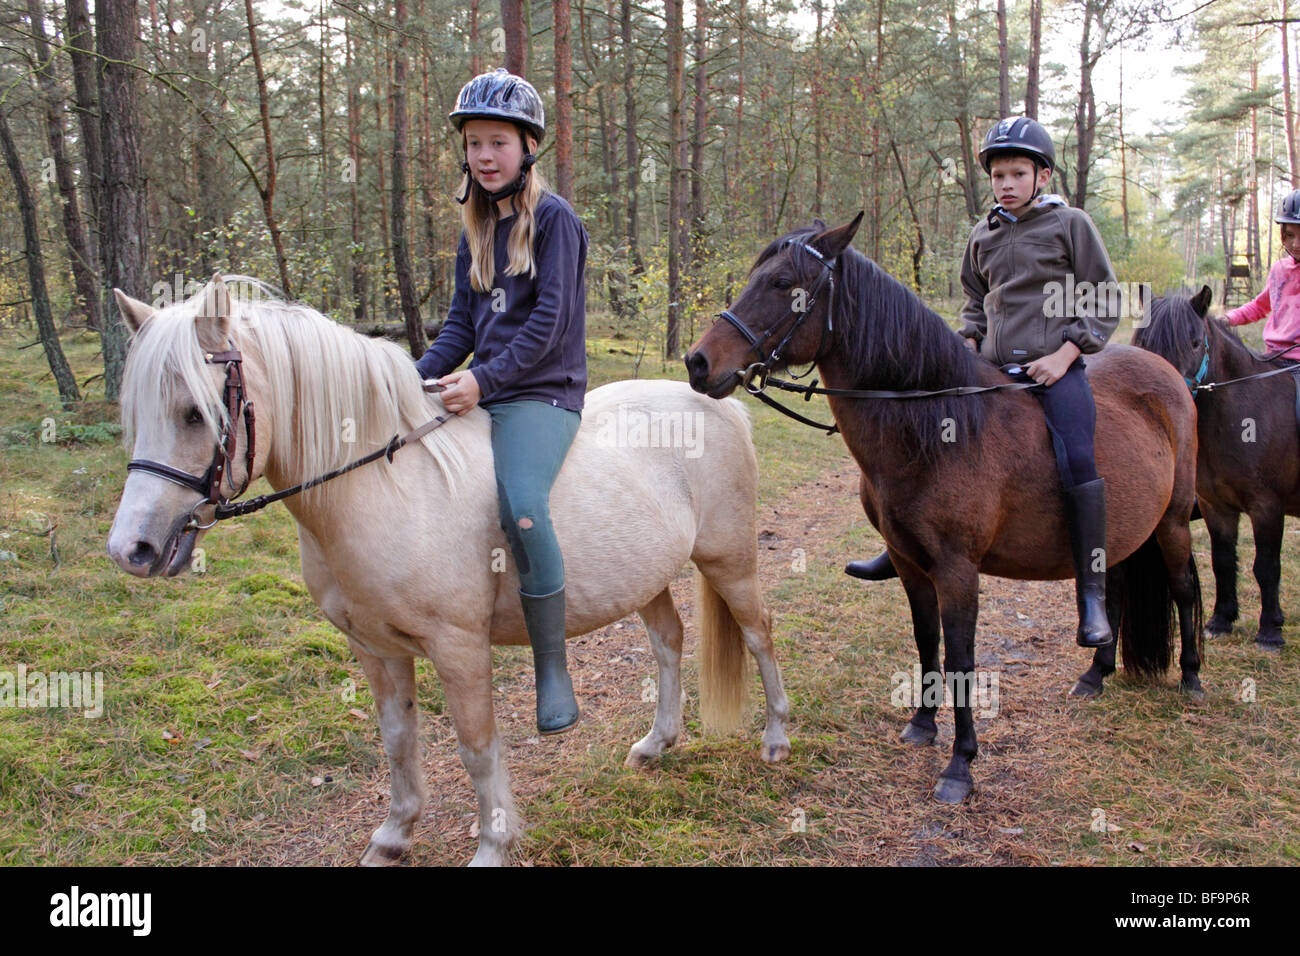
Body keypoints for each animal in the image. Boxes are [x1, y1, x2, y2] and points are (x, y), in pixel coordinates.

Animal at [105, 275, 790, 866]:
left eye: (196, 413)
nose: (131, 549)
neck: (384, 485)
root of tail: (717, 404)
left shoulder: (458, 647)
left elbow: (476, 747)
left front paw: (492, 845)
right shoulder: (375, 649)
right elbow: (398, 740)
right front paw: (393, 835)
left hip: (729, 561)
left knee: (759, 635)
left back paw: (777, 739)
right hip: (644, 578)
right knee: (669, 642)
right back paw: (657, 744)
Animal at [684, 214, 1203, 804]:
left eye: (781, 284)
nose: (698, 362)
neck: (935, 425)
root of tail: (1168, 375)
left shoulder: (958, 570)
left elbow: (960, 658)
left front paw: (961, 764)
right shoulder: (909, 561)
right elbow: (927, 641)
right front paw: (923, 725)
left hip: (1172, 521)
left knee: (1184, 587)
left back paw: (1191, 679)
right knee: (1112, 589)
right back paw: (1095, 672)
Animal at [1134, 286, 1296, 647]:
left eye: (1196, 342)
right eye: (1143, 341)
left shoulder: (1267, 506)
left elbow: (1266, 566)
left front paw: (1269, 630)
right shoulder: (1216, 506)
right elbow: (1222, 560)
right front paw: (1221, 620)